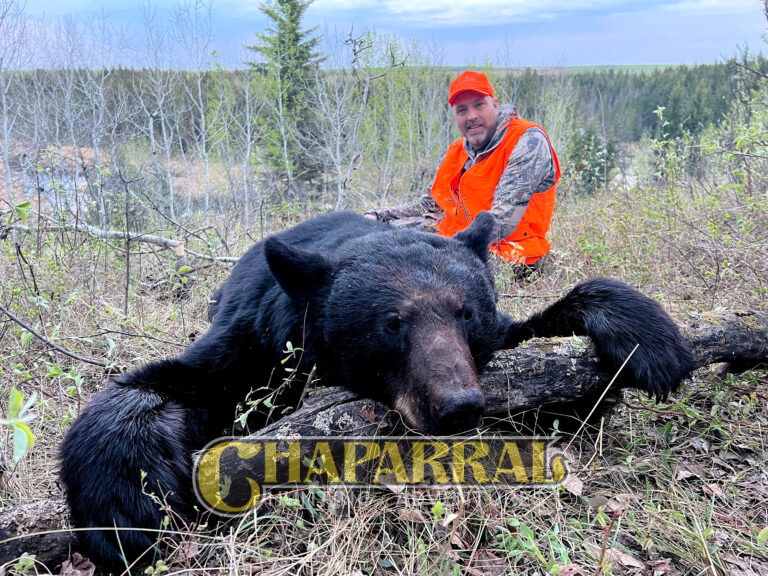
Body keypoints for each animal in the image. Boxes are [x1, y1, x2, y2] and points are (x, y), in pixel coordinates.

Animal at [59, 211, 695, 568]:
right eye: (392, 324)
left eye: (466, 313)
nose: (459, 406)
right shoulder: (254, 344)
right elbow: (170, 384)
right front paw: (126, 506)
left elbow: (562, 385)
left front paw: (647, 337)